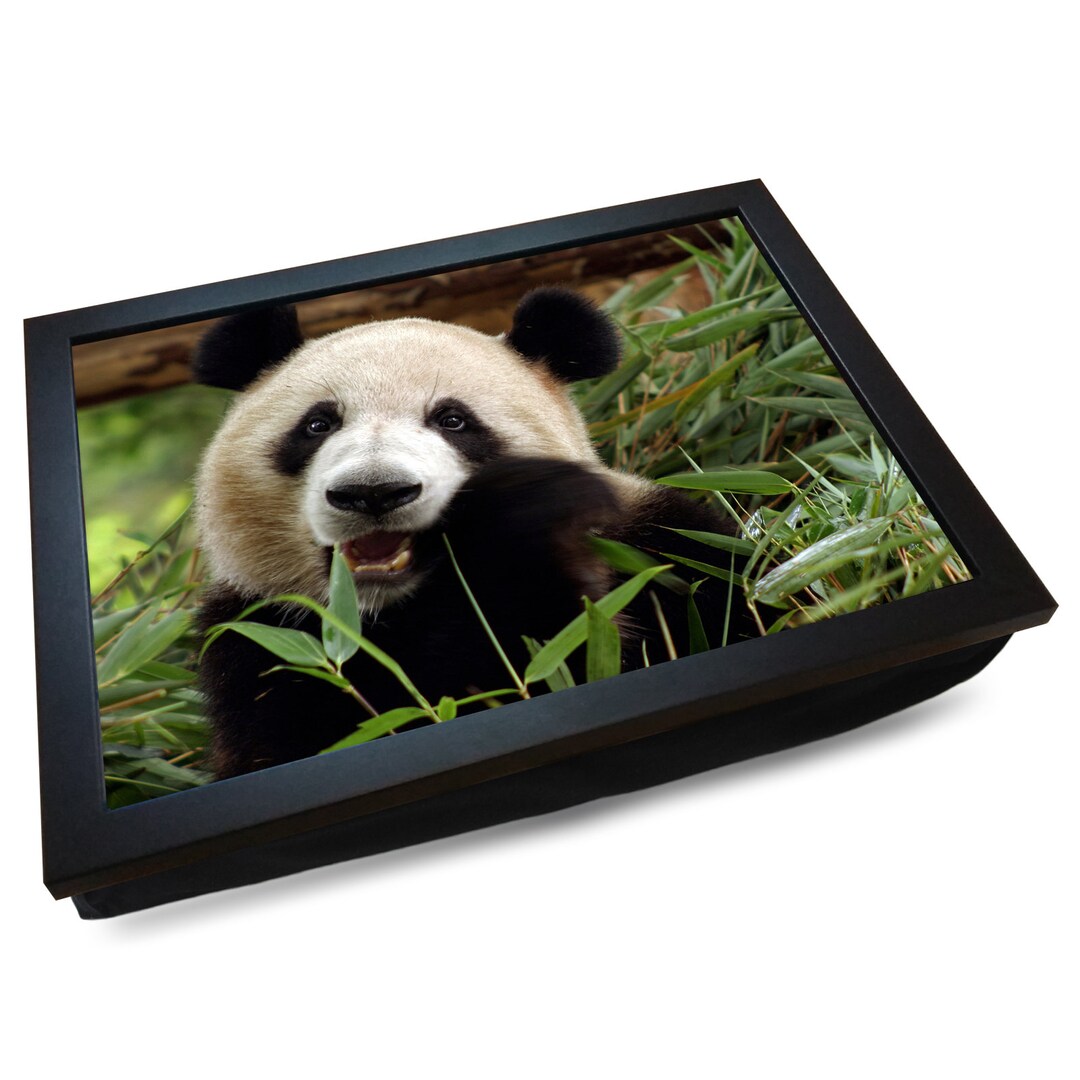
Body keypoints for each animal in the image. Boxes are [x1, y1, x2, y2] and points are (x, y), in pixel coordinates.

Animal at [191, 288, 753, 778]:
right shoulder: (262, 642)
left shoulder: (657, 553)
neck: (392, 611)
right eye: (317, 425)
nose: (374, 492)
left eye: (453, 420)